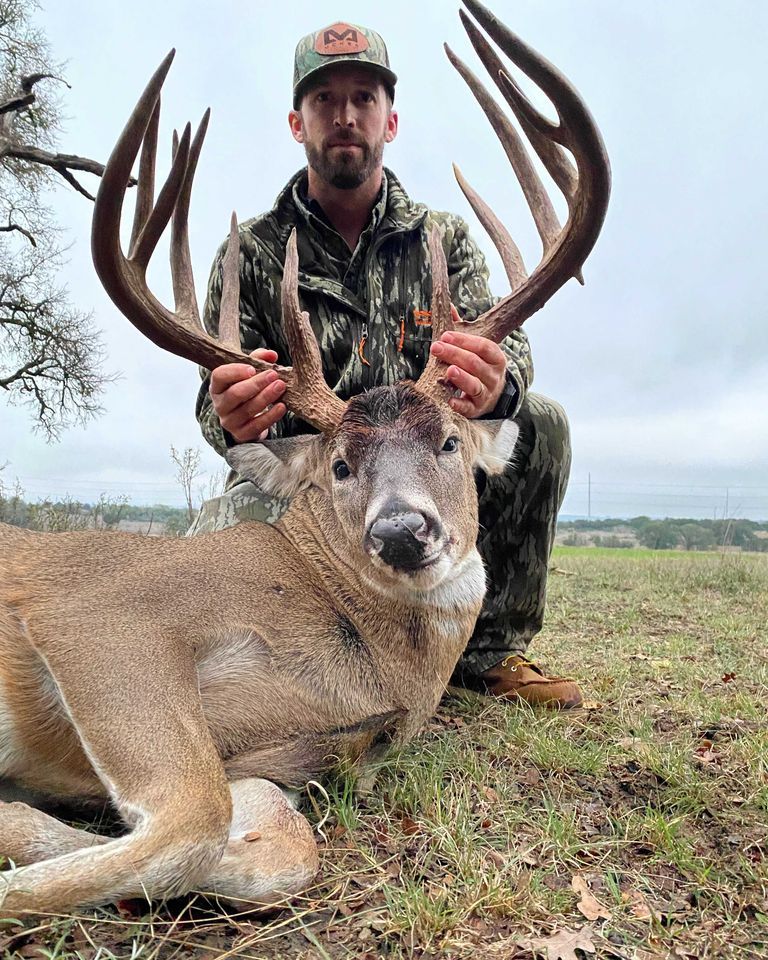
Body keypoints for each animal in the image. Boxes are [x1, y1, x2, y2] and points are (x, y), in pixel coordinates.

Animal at [0, 0, 609, 915]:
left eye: (448, 441)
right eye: (341, 467)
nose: (402, 530)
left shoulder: (295, 760)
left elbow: (280, 842)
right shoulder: (97, 614)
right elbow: (192, 821)